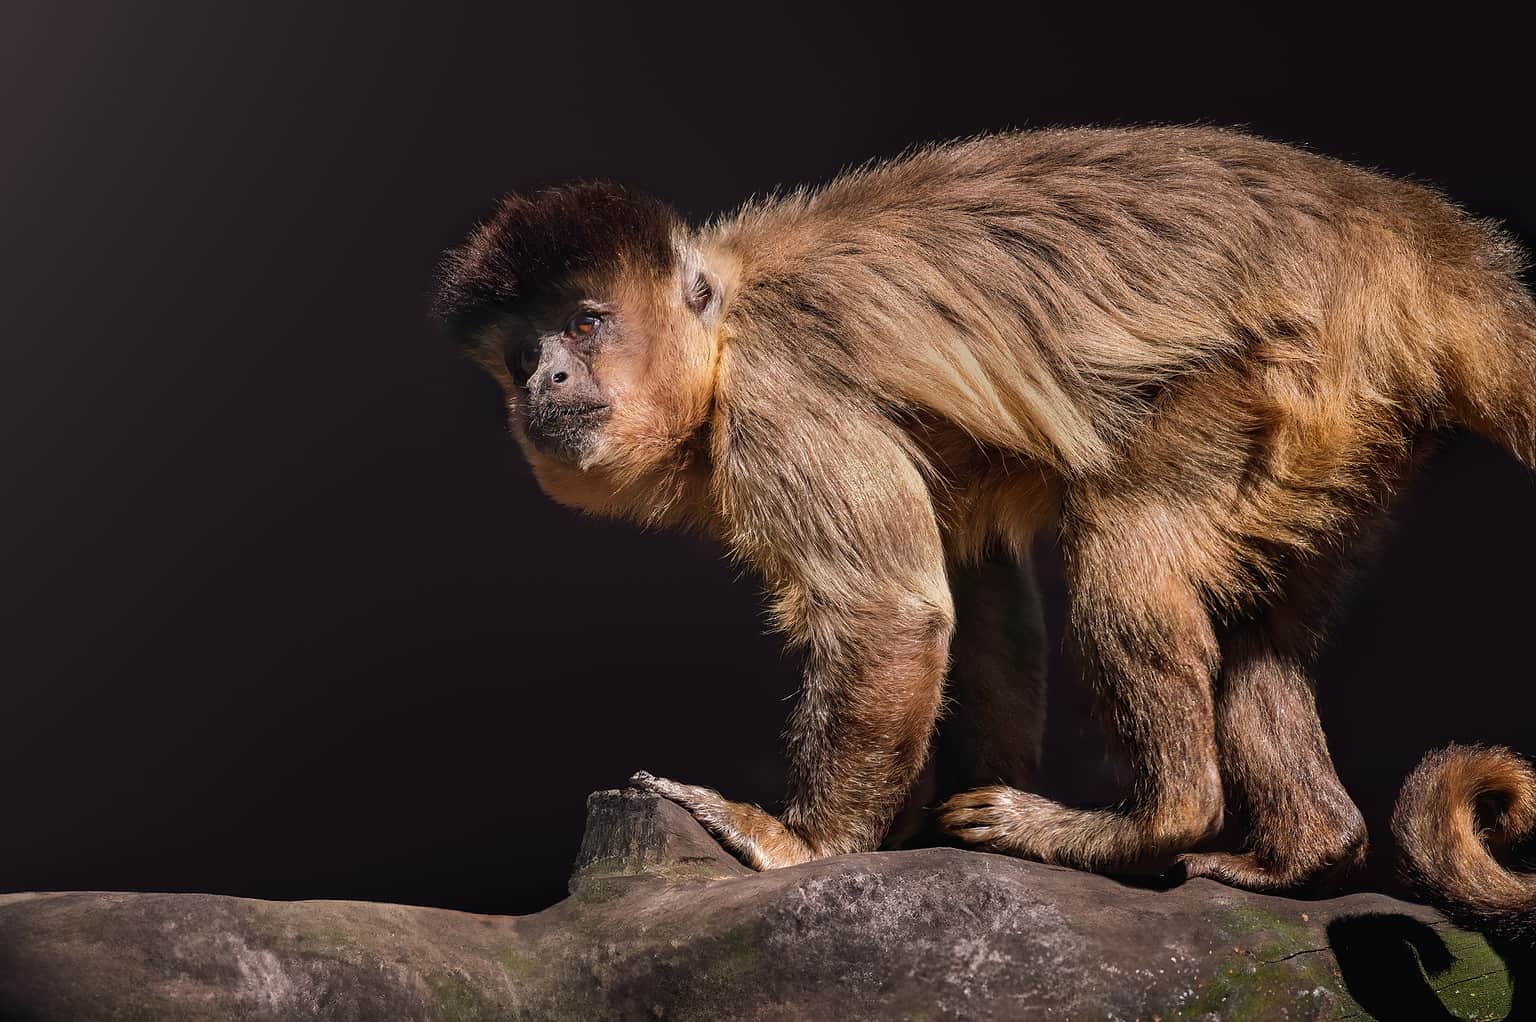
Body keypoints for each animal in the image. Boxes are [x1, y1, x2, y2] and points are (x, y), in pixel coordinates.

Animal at [433, 126, 1536, 939]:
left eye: (585, 326)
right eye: (523, 351)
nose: (545, 380)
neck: (727, 323)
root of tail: (1409, 233)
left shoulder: (776, 395)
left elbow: (894, 612)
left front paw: (806, 847)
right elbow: (981, 598)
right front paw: (911, 826)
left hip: (1302, 366)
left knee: (1123, 537)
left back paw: (1154, 821)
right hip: (1347, 424)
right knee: (1257, 615)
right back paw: (1306, 849)